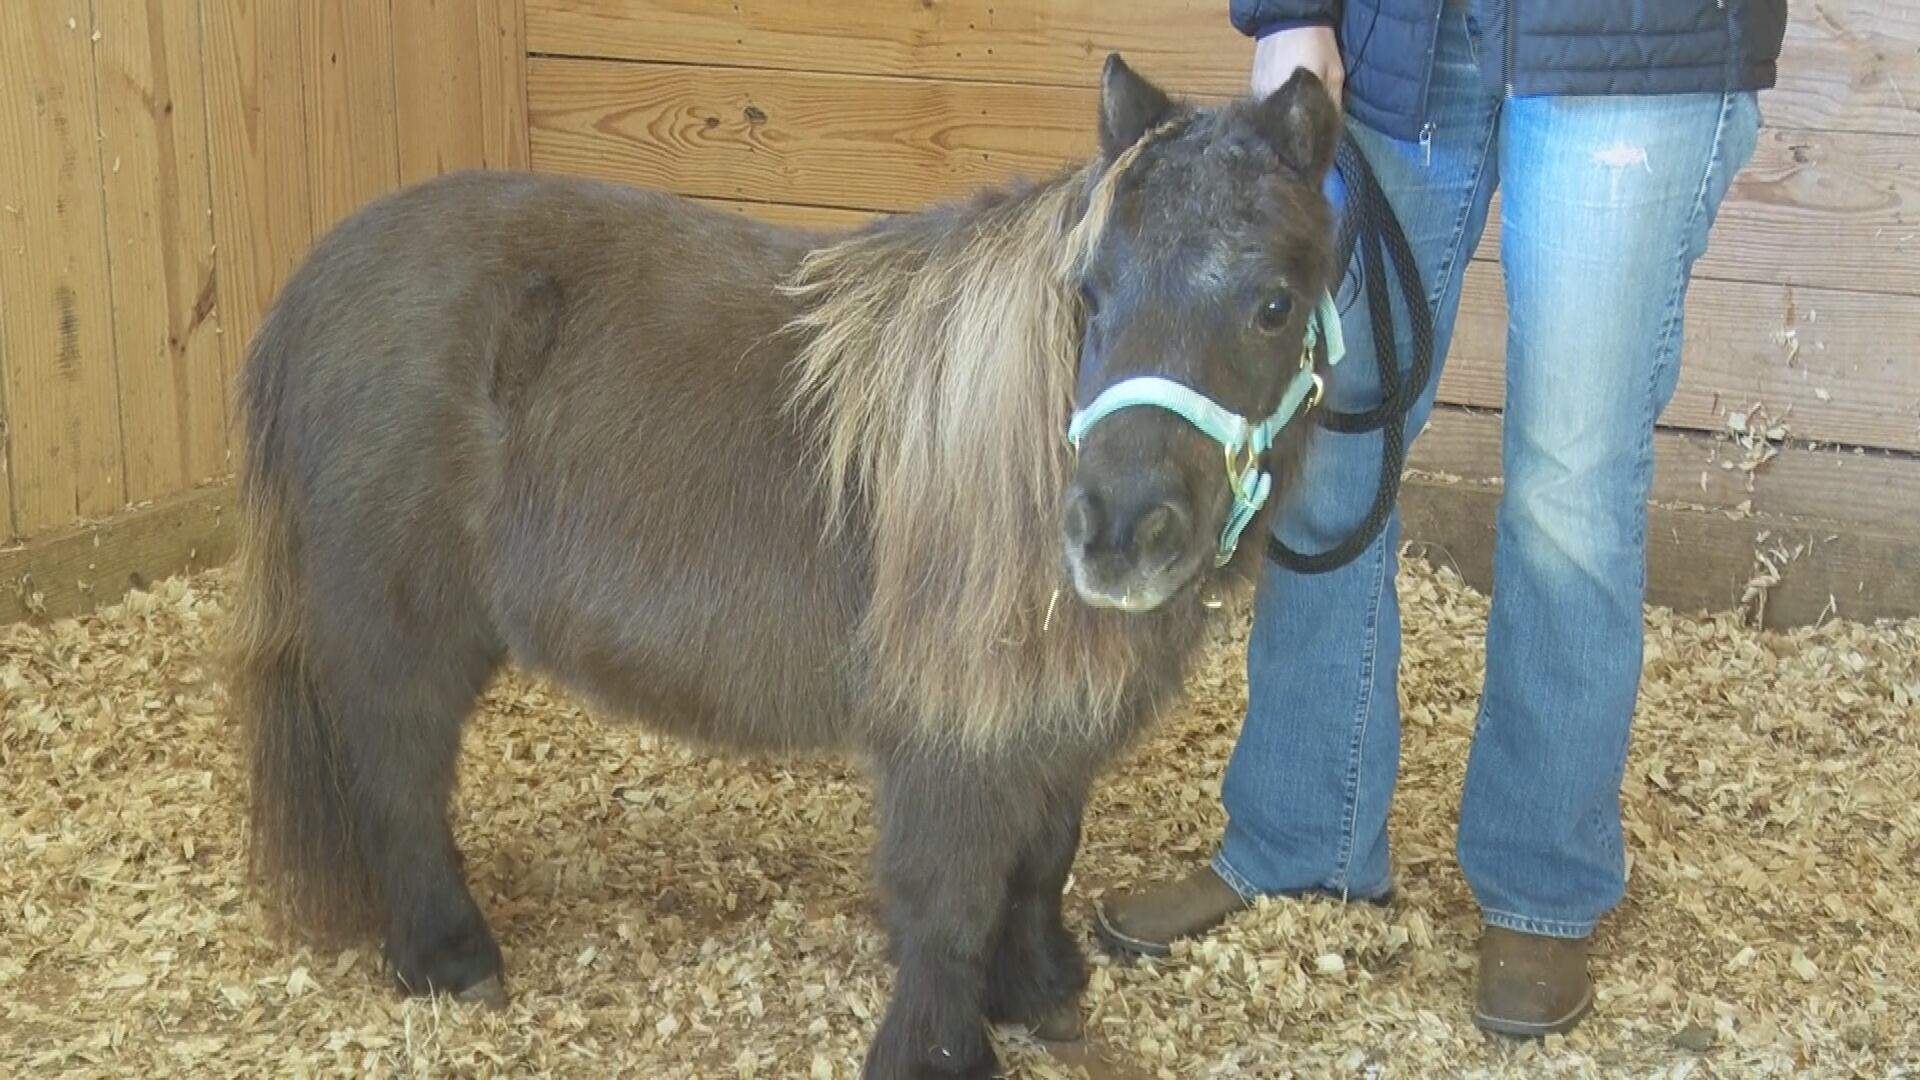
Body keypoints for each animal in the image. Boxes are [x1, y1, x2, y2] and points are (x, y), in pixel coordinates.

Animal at [225, 54, 1344, 1079]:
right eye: (1091, 292)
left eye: (1275, 305)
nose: (1113, 530)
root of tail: (305, 296)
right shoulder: (951, 737)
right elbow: (952, 903)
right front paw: (939, 1052)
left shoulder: (1051, 726)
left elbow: (1039, 863)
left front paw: (1039, 990)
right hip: (401, 636)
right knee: (398, 780)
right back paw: (448, 957)